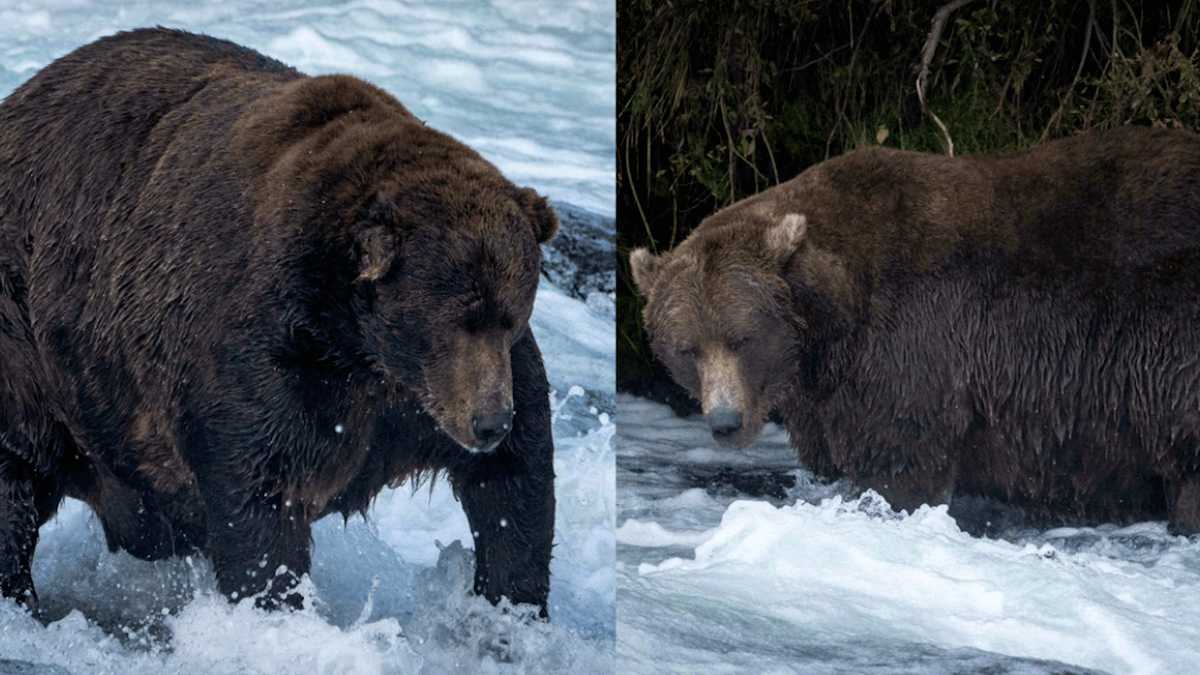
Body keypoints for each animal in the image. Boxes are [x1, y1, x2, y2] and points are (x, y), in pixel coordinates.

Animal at [0, 28, 559, 615]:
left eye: (510, 316)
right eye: (455, 320)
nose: (489, 421)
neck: (358, 343)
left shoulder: (422, 400)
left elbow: (515, 483)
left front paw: (512, 606)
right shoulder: (270, 358)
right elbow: (261, 499)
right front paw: (275, 601)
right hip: (30, 341)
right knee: (16, 473)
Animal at [630, 126, 1200, 535]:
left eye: (743, 338)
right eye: (687, 349)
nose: (725, 423)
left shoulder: (913, 344)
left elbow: (902, 457)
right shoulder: (828, 391)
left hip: (1168, 332)